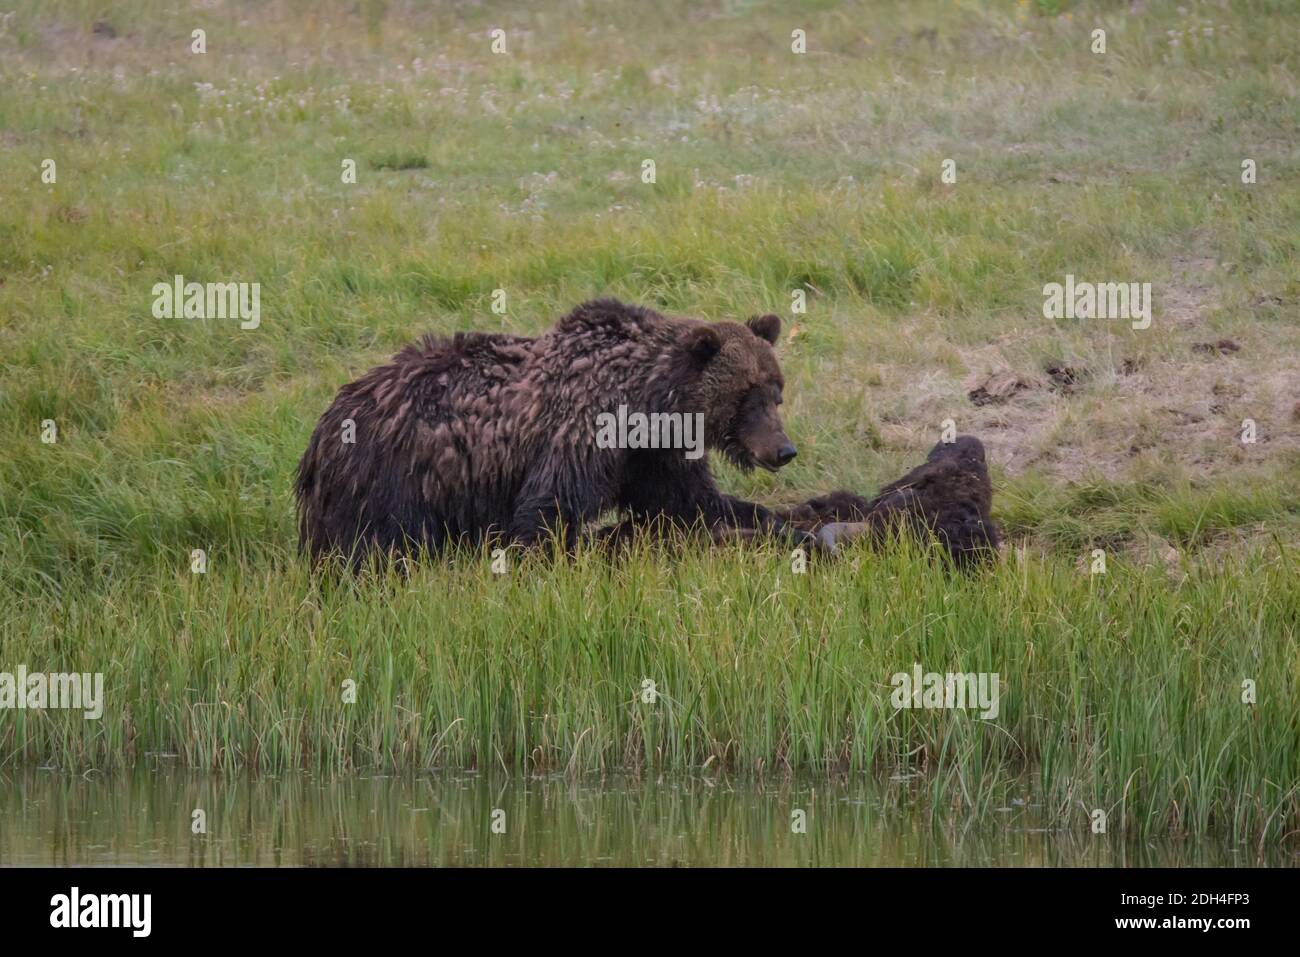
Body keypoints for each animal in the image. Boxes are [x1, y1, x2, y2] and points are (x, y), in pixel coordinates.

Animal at [295, 298, 814, 564]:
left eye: (776, 390)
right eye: (746, 396)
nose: (783, 449)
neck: (649, 401)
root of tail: (322, 428)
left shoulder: (651, 454)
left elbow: (687, 501)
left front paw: (779, 518)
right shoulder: (589, 429)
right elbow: (551, 505)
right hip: (391, 481)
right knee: (376, 547)